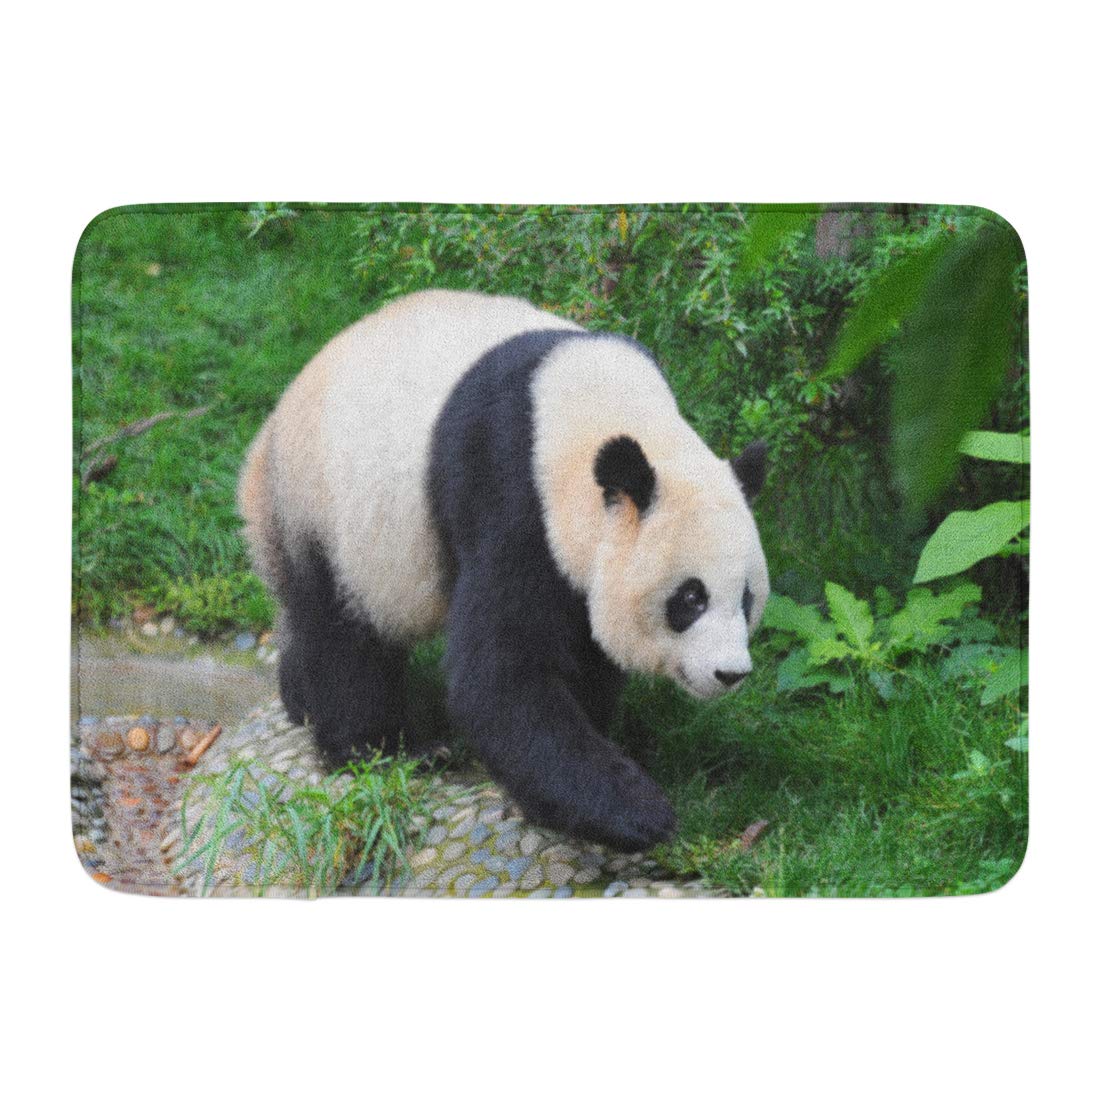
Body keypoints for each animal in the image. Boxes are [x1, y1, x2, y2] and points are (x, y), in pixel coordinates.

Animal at [238, 289, 770, 852]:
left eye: (745, 599)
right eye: (690, 598)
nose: (730, 673)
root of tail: (263, 447)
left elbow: (584, 655)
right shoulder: (508, 488)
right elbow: (502, 674)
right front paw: (637, 811)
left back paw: (299, 700)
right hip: (323, 512)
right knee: (340, 634)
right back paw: (382, 750)